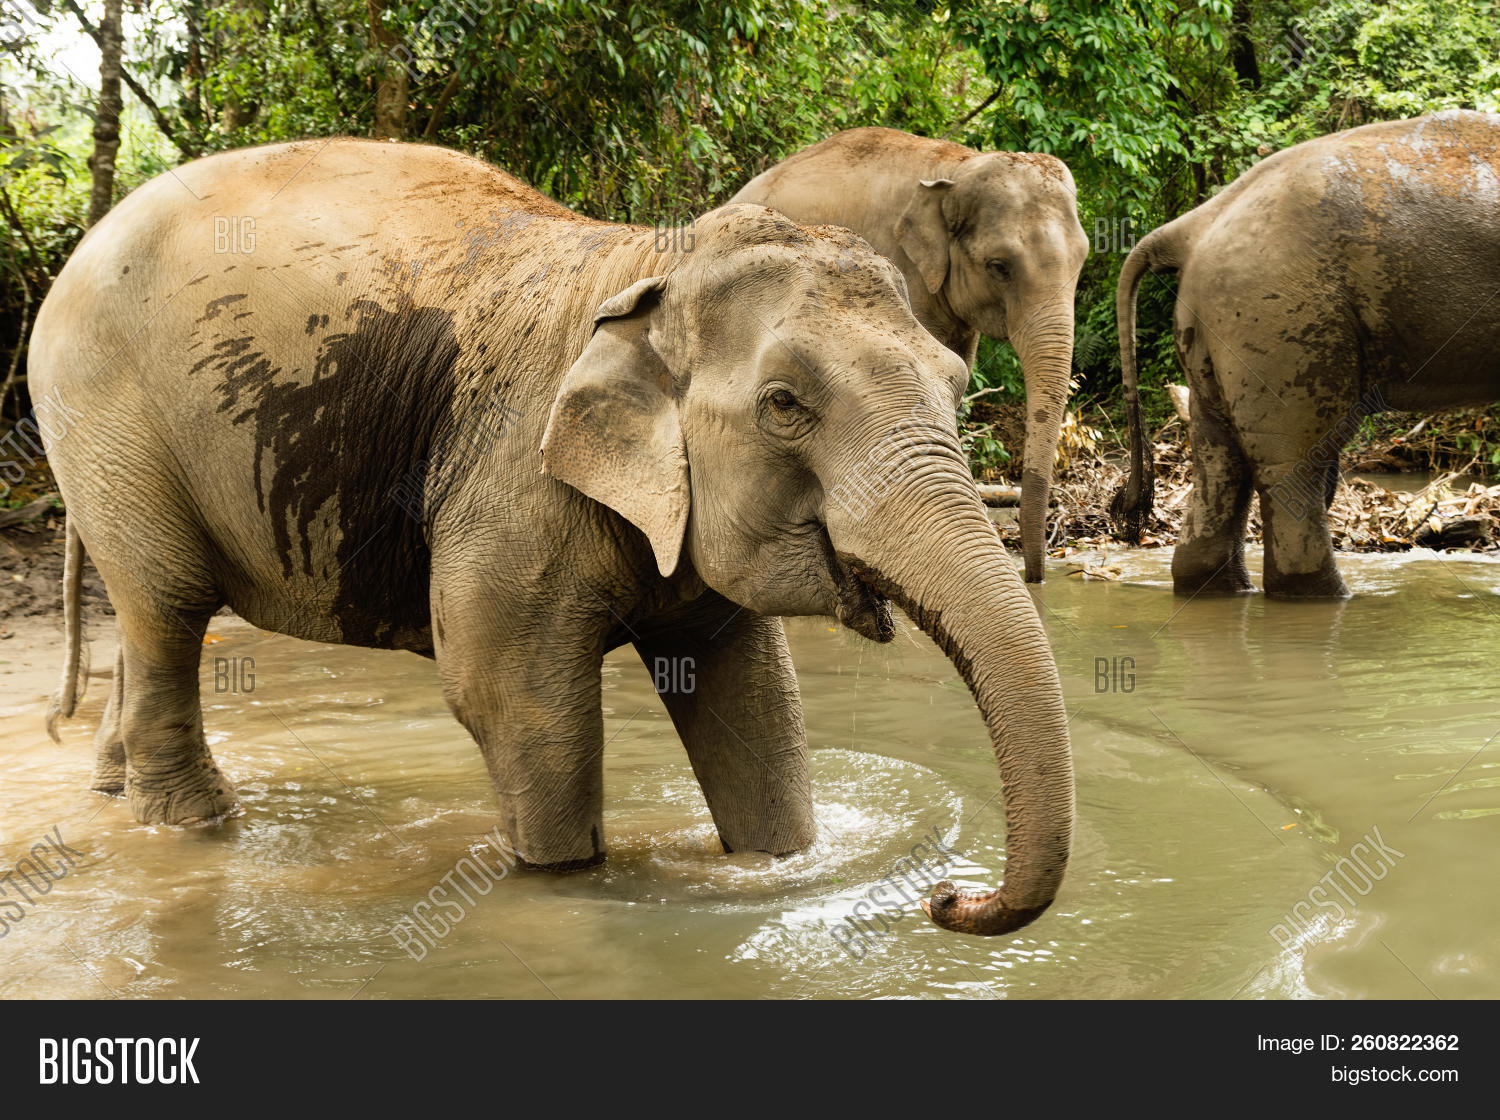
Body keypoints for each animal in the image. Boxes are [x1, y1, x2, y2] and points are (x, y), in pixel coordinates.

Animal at [1115, 110, 1500, 597]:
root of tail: (1196, 223)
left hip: (1215, 321)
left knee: (1218, 454)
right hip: (1282, 313)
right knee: (1295, 459)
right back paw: (1321, 595)